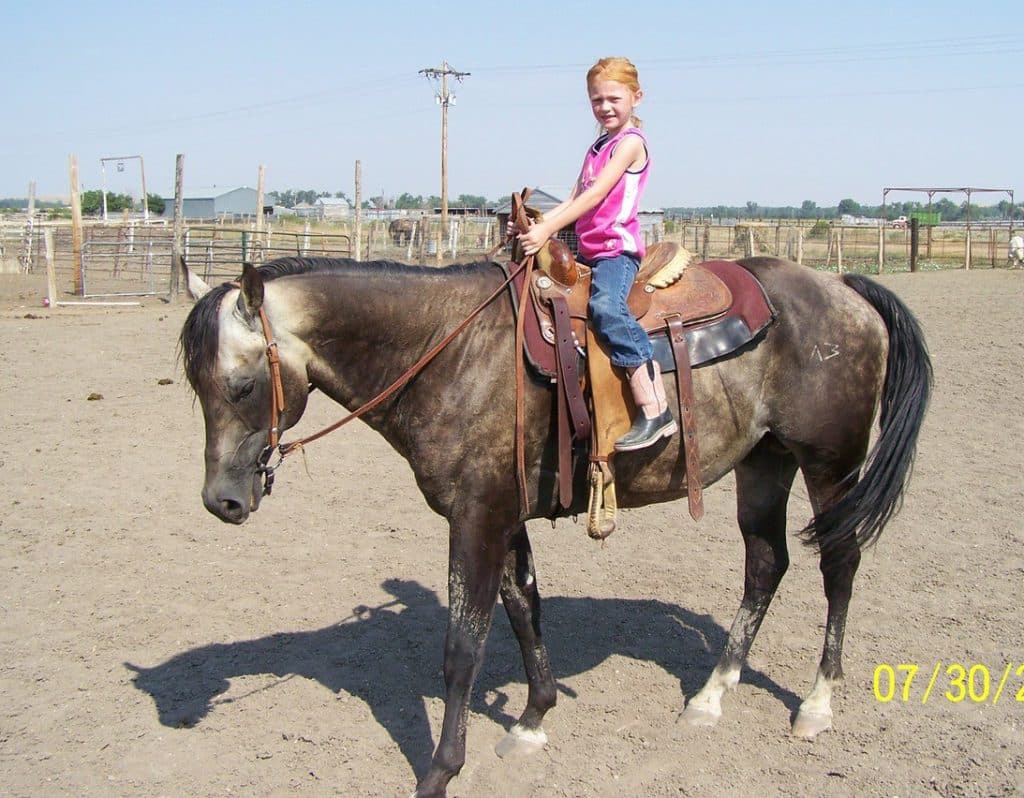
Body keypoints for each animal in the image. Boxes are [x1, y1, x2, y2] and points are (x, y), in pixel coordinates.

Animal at [179, 254, 931, 798]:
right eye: (196, 386)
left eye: (241, 385)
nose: (221, 502)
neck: (452, 351)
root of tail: (842, 288)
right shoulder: (501, 514)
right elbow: (523, 608)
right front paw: (533, 718)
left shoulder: (476, 519)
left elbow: (463, 649)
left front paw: (440, 771)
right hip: (765, 463)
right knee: (765, 563)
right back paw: (712, 694)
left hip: (829, 465)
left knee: (838, 563)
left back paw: (818, 702)